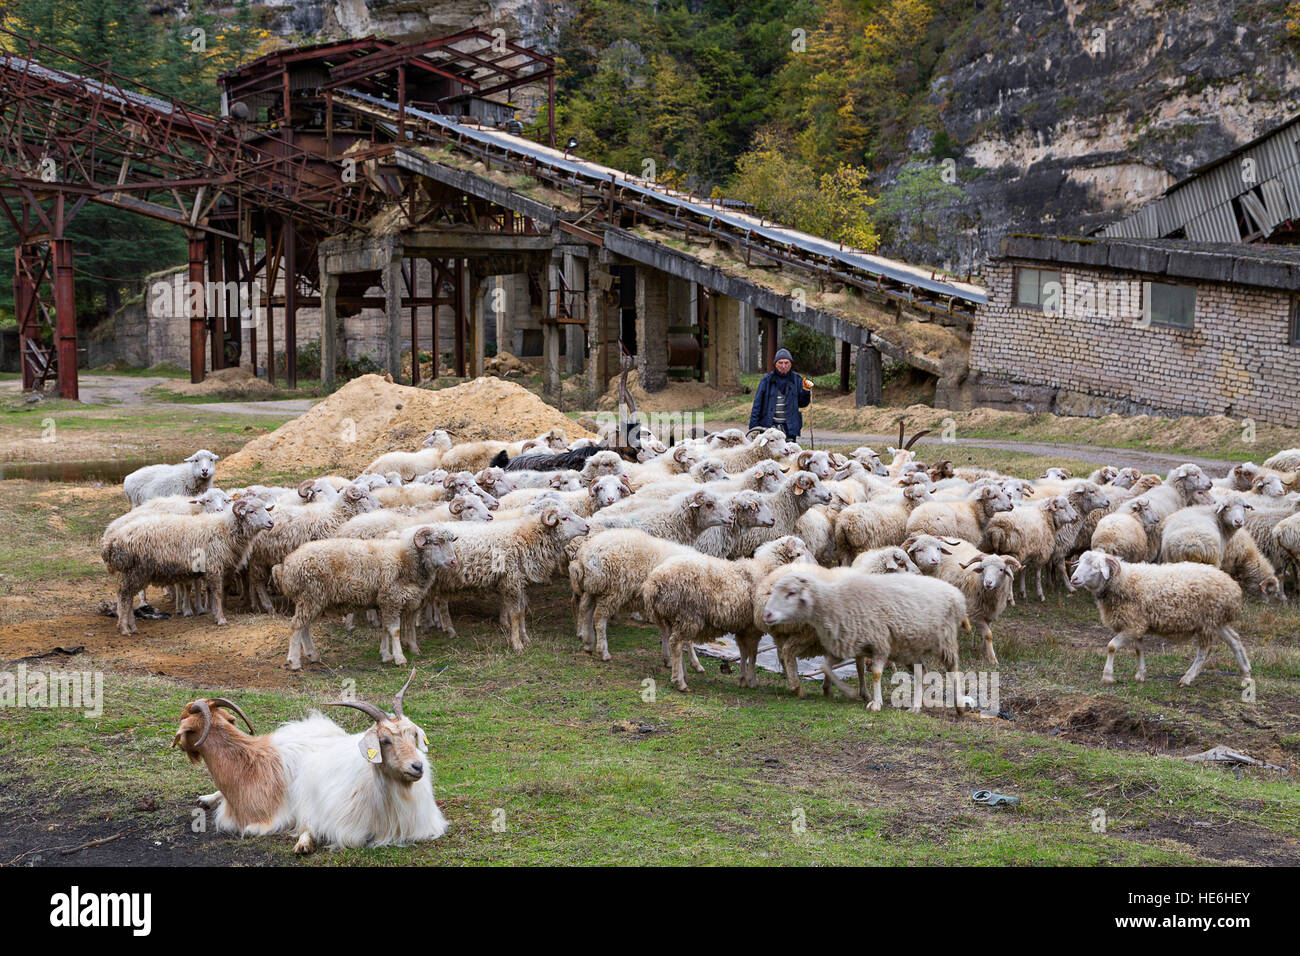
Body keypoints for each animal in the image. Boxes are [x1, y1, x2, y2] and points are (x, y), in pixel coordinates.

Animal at [102, 496, 275, 635]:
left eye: (265, 509)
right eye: (251, 511)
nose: (271, 522)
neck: (224, 530)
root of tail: (110, 542)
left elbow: (211, 593)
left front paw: (212, 613)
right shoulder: (214, 568)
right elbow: (217, 594)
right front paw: (221, 619)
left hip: (133, 573)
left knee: (128, 597)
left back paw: (132, 626)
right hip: (134, 571)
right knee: (124, 597)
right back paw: (124, 628)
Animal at [643, 536, 816, 692]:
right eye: (804, 547)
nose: (816, 565)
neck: (766, 570)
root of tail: (654, 583)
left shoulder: (744, 627)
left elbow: (744, 653)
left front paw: (742, 679)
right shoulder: (753, 628)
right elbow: (753, 654)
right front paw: (752, 680)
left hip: (674, 618)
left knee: (676, 643)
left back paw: (682, 673)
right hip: (688, 615)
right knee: (676, 644)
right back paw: (680, 682)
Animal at [759, 569, 968, 712]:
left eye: (792, 592)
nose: (767, 614)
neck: (833, 602)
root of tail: (957, 594)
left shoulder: (880, 643)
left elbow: (875, 673)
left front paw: (876, 702)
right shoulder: (848, 643)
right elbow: (828, 667)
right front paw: (850, 692)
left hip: (945, 640)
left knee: (954, 670)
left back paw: (959, 705)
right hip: (911, 648)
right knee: (920, 673)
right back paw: (916, 705)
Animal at [1069, 550, 1250, 688]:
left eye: (1095, 567)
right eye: (1079, 563)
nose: (1073, 579)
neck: (1124, 581)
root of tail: (1233, 587)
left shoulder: (1133, 625)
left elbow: (1111, 646)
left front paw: (1107, 676)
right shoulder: (1137, 625)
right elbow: (1138, 649)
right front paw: (1140, 674)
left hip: (1208, 622)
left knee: (1204, 652)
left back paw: (1187, 678)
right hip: (1216, 621)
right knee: (1235, 640)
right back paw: (1246, 675)